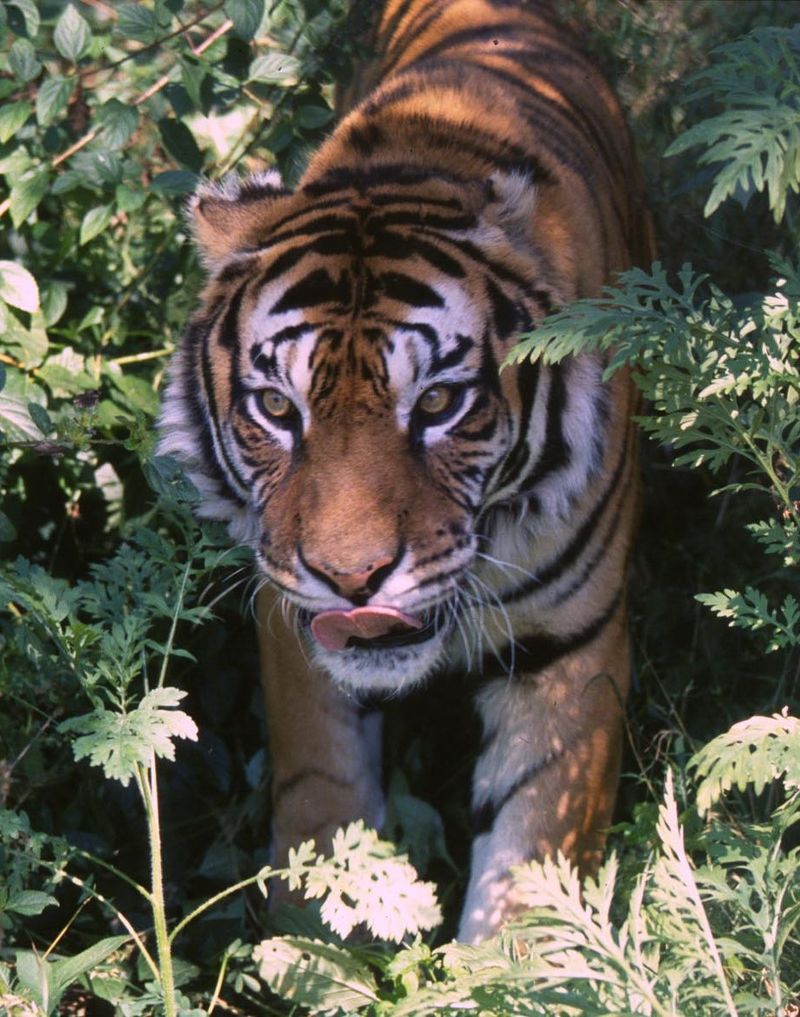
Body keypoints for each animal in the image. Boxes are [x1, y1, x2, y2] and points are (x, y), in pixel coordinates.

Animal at [158, 0, 654, 942]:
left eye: (438, 403)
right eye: (277, 408)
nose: (353, 578)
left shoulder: (575, 642)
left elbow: (535, 853)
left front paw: (518, 961)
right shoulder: (294, 618)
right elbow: (322, 805)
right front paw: (317, 948)